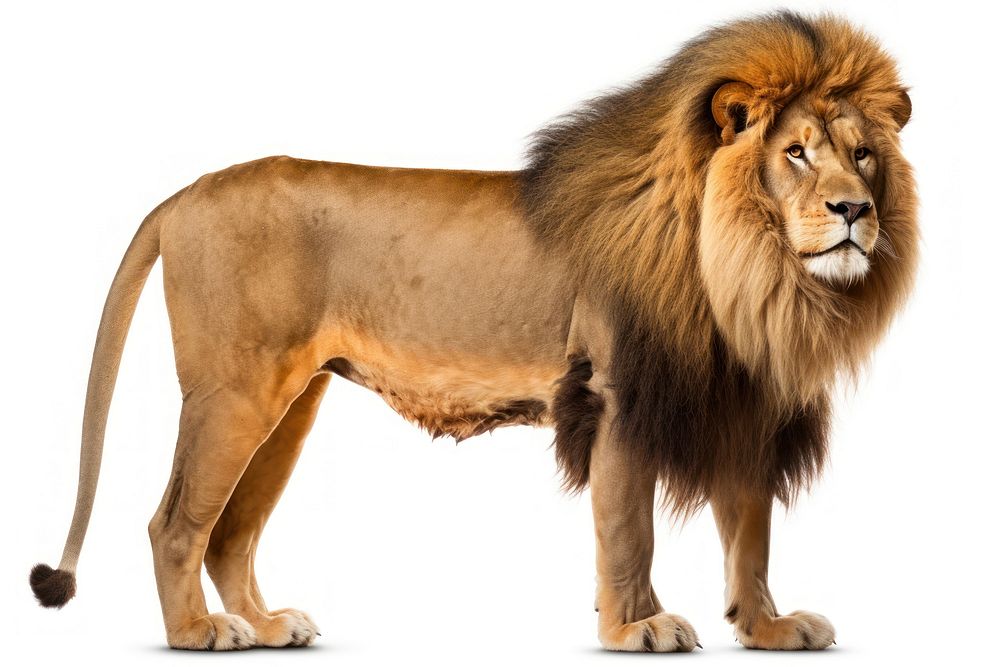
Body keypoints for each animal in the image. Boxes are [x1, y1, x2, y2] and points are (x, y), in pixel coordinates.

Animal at [29, 11, 917, 652]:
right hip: (233, 390)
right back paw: (197, 631)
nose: (853, 210)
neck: (751, 276)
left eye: (864, 155)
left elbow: (750, 532)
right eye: (795, 153)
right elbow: (628, 528)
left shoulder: (743, 408)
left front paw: (767, 626)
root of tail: (184, 193)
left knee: (231, 532)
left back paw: (269, 624)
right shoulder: (615, 394)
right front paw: (638, 625)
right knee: (174, 520)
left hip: (291, 401)